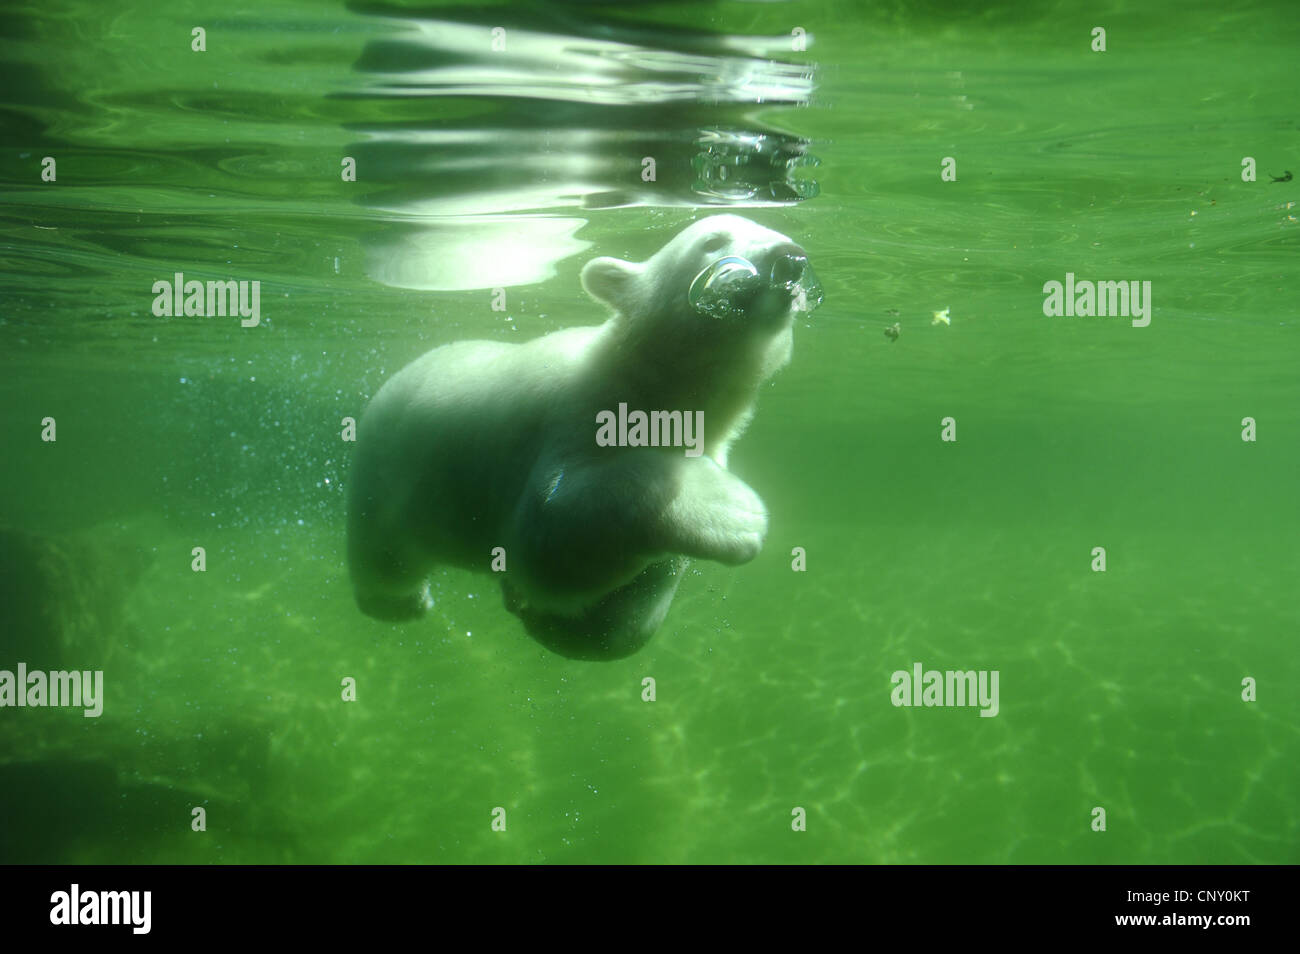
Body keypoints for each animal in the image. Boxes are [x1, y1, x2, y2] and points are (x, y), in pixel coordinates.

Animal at [346, 214, 821, 660]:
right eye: (714, 240)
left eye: (777, 231)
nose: (791, 258)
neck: (650, 390)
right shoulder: (573, 420)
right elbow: (549, 530)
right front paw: (733, 511)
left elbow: (636, 604)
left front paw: (543, 618)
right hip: (386, 473)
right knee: (384, 557)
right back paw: (403, 602)